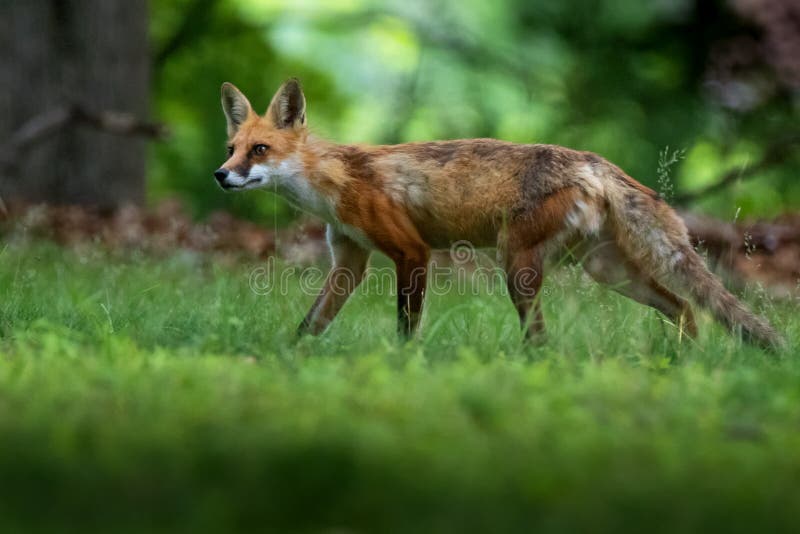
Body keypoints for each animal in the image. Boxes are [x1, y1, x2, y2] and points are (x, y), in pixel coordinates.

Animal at [214, 78, 784, 350]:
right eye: (231, 148)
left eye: (260, 150)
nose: (221, 175)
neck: (336, 181)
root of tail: (593, 160)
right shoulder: (349, 261)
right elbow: (310, 325)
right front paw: (288, 360)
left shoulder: (410, 251)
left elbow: (405, 326)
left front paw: (402, 366)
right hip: (607, 269)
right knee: (686, 308)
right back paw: (687, 363)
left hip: (518, 263)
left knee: (542, 339)